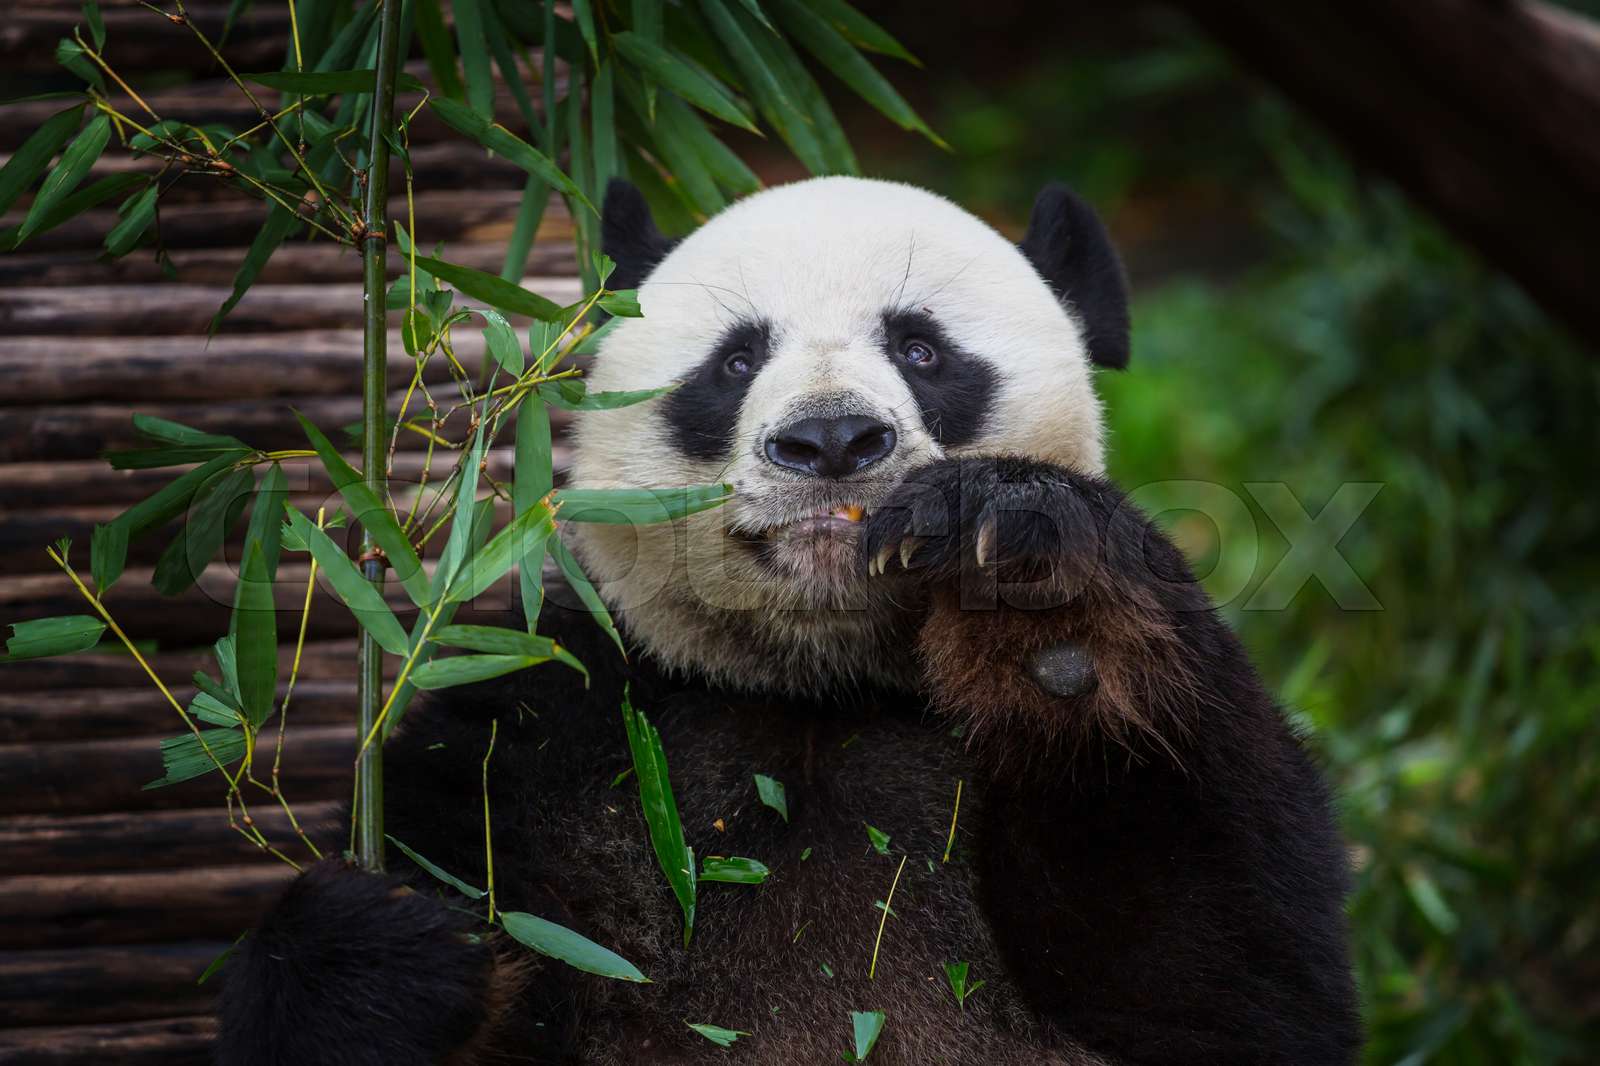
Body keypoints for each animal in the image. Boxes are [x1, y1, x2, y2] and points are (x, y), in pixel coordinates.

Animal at [216, 177, 1362, 1065]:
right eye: (733, 361)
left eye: (922, 349)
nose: (831, 441)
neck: (821, 689)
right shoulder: (531, 749)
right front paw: (371, 957)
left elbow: (1228, 986)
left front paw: (1046, 611)